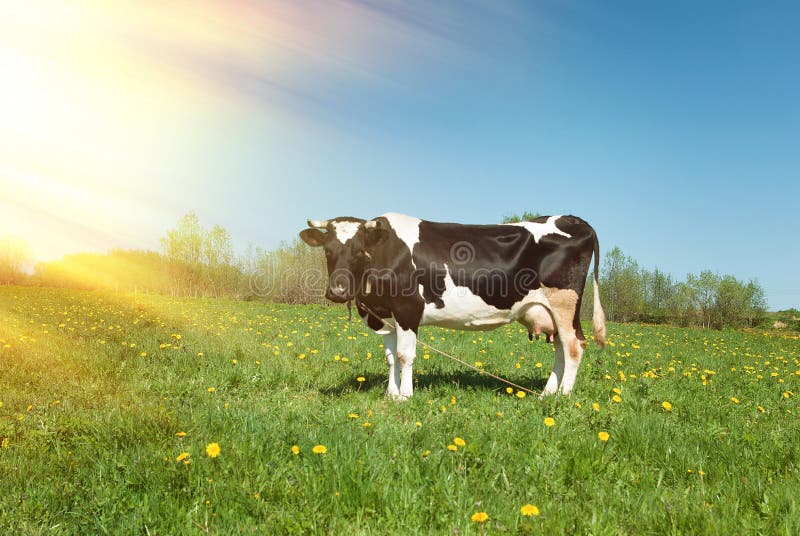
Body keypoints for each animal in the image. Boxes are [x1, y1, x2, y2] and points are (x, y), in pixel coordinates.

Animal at [299, 213, 606, 400]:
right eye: (328, 250)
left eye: (360, 251)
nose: (337, 291)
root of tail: (574, 220)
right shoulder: (386, 317)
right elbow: (390, 358)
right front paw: (390, 393)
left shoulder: (408, 309)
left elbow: (404, 356)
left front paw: (405, 396)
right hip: (550, 311)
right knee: (561, 348)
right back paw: (546, 394)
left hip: (564, 304)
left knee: (574, 346)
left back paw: (563, 396)